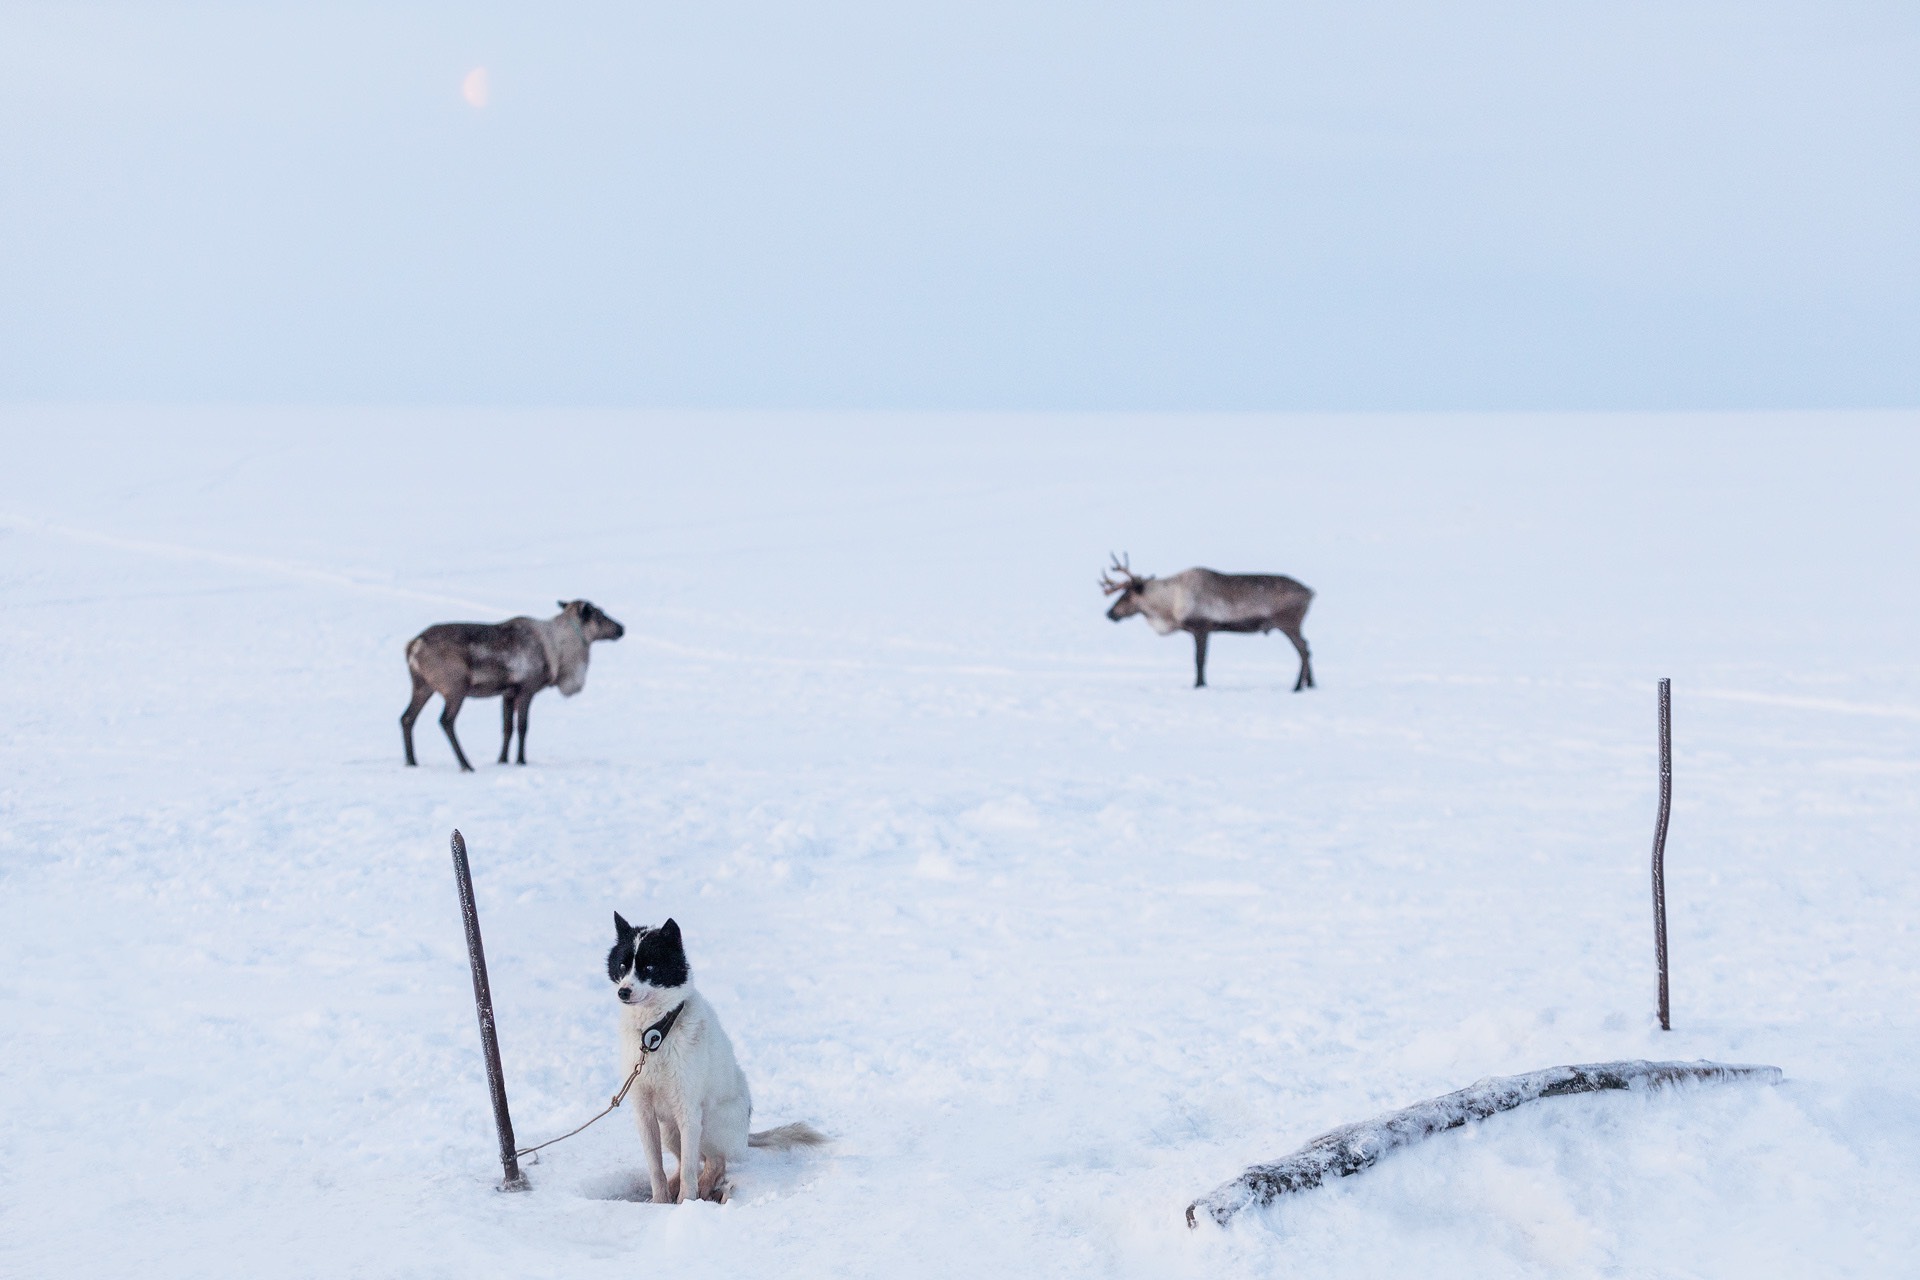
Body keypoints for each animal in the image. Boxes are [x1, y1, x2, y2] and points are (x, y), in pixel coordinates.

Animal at [606, 917, 825, 1205]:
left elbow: (690, 1170)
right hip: (670, 1130)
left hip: (707, 1124)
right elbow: (657, 1168)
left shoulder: (688, 1111)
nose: (623, 991)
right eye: (622, 966)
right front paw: (660, 1202)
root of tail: (744, 1137)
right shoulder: (644, 1114)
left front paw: (686, 1203)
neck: (657, 1033)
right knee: (688, 1162)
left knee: (714, 1163)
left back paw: (706, 1189)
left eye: (649, 968)